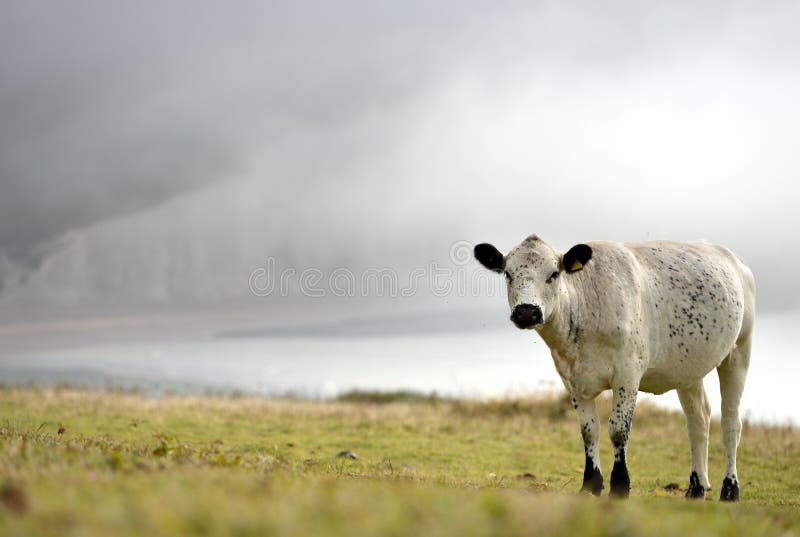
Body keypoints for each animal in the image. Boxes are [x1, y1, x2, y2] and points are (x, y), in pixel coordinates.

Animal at [473, 235, 754, 501]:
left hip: (739, 350)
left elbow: (618, 429)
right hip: (688, 368)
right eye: (508, 273)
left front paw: (620, 486)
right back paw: (696, 488)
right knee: (698, 420)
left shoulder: (628, 373)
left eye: (553, 274)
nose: (526, 312)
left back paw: (730, 489)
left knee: (731, 422)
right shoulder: (572, 379)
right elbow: (589, 431)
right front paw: (591, 485)